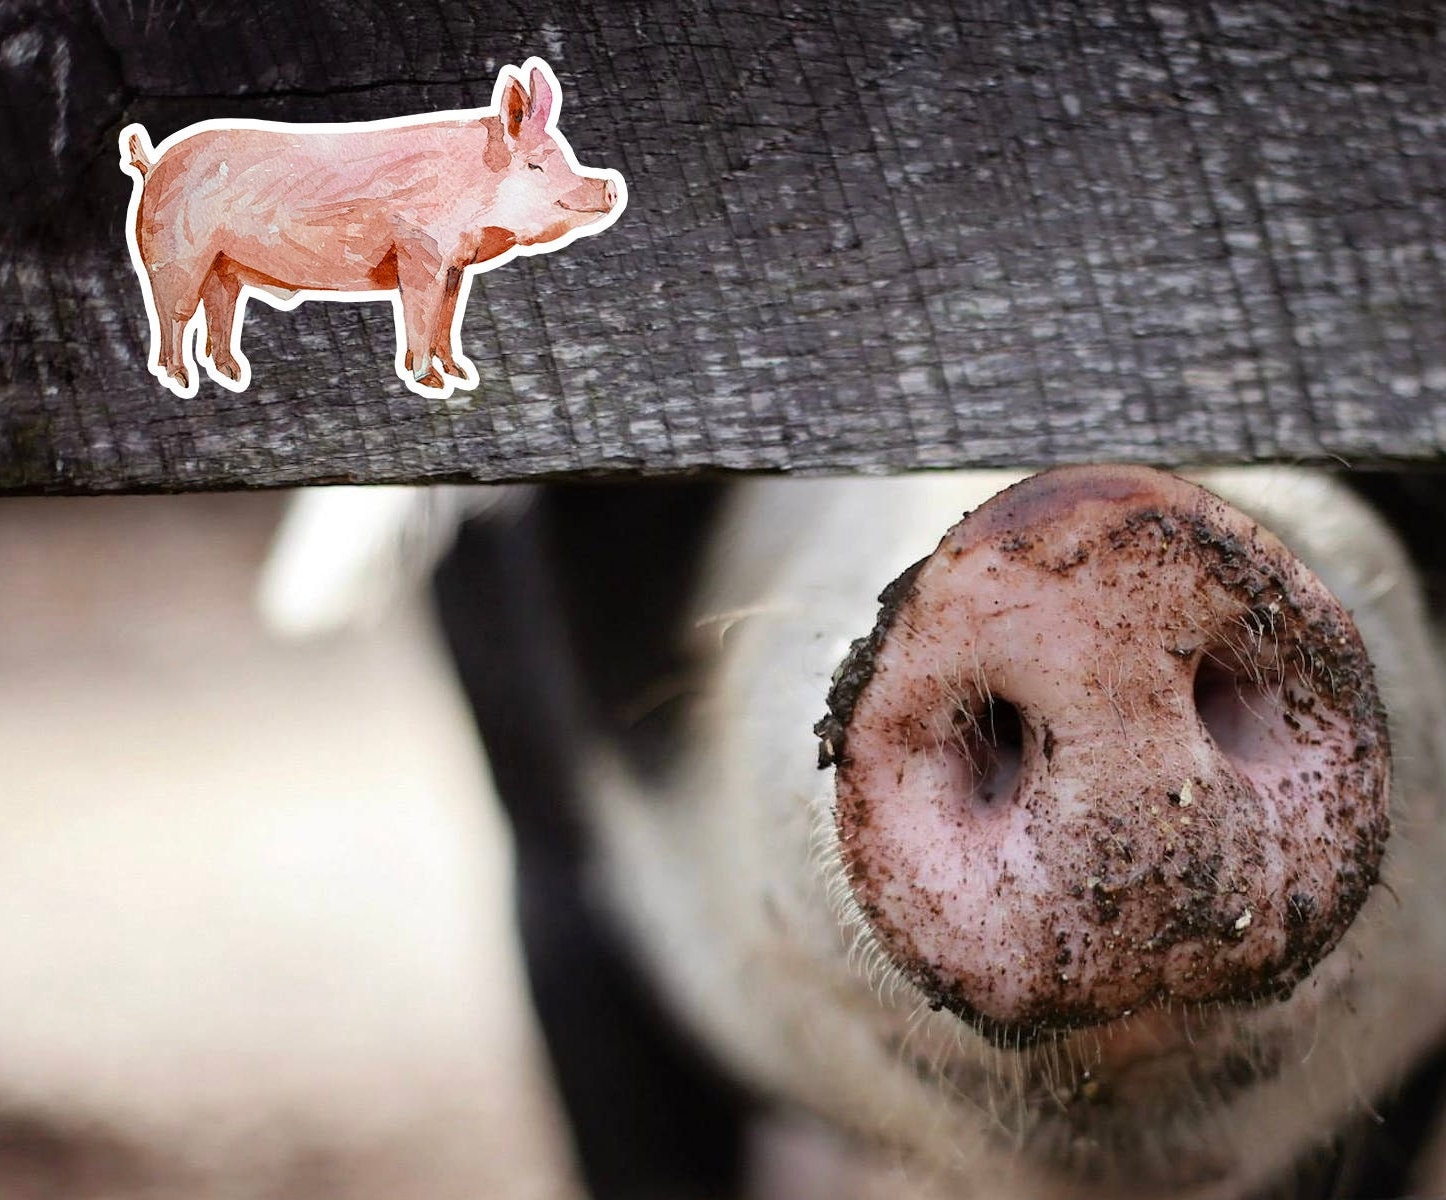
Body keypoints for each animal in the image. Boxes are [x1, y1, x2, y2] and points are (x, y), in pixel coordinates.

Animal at [118, 57, 625, 400]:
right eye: (536, 165)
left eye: (561, 158)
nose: (611, 187)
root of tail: (153, 163)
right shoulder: (421, 251)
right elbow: (421, 313)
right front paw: (431, 381)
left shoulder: (456, 265)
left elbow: (445, 318)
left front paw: (459, 375)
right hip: (176, 254)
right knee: (174, 315)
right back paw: (181, 380)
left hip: (222, 264)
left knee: (220, 310)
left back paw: (232, 374)